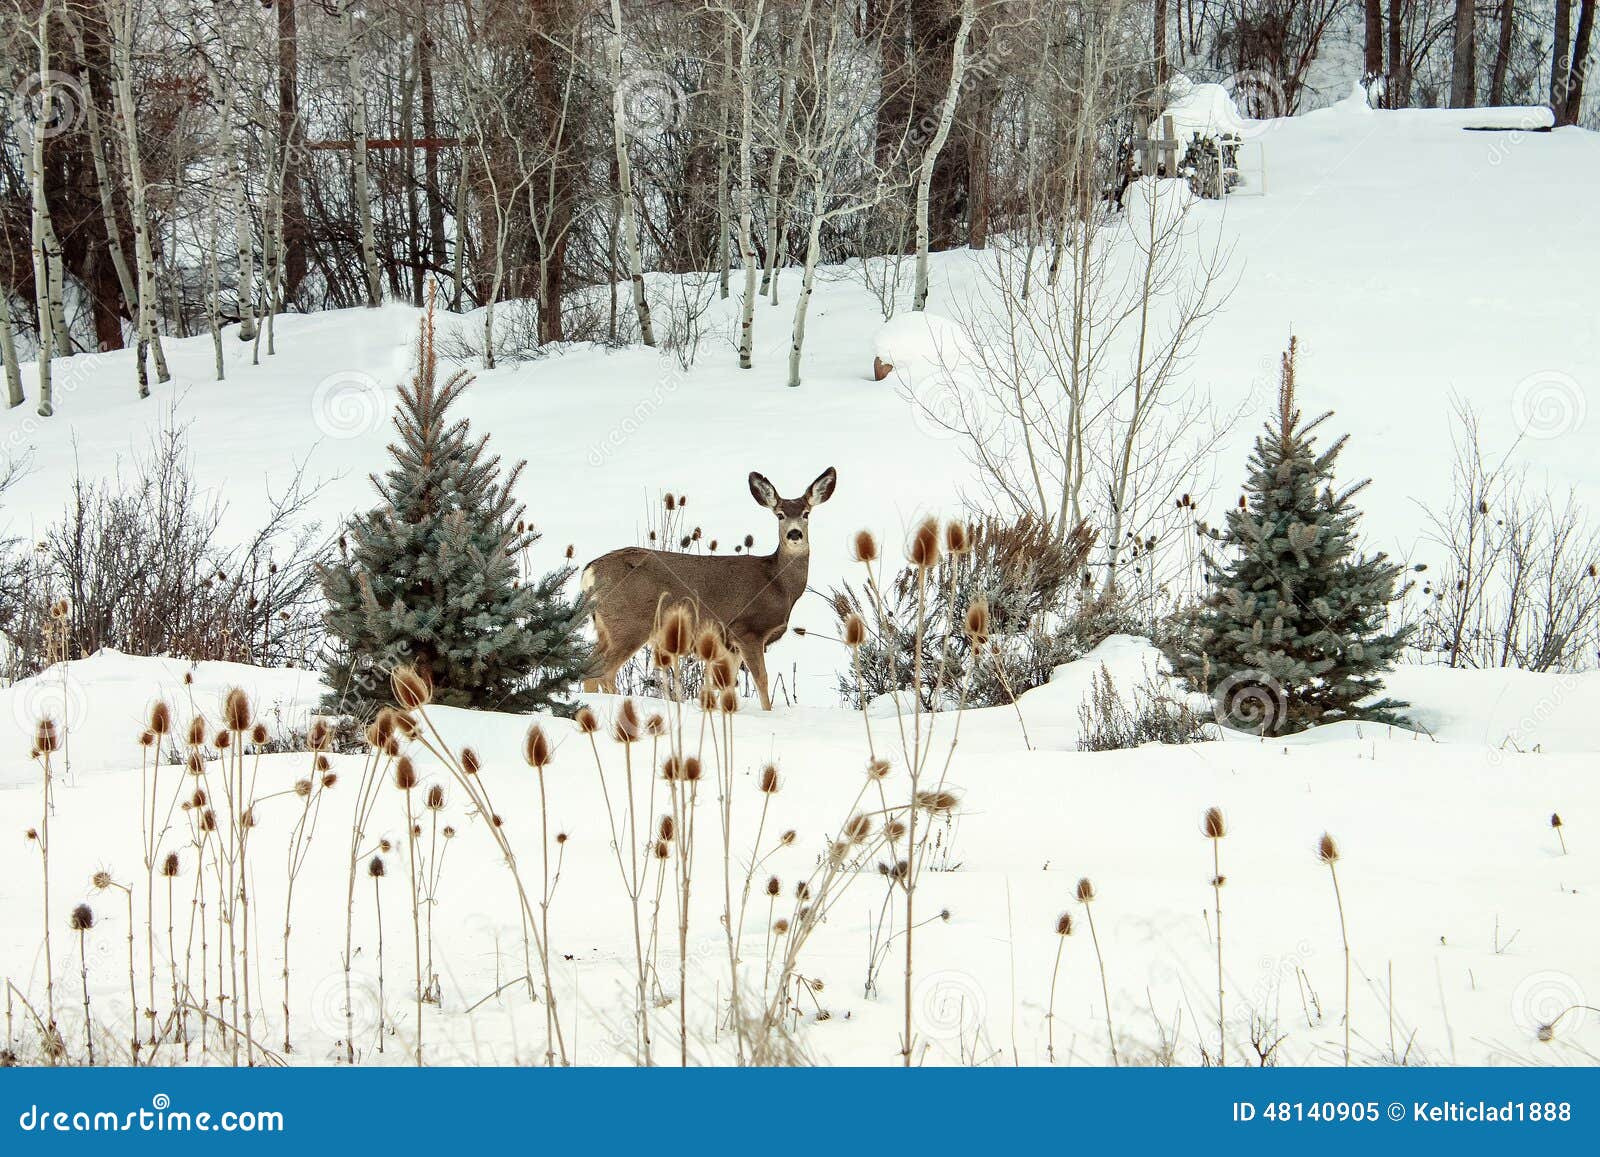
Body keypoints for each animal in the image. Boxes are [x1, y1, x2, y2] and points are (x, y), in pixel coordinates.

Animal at [580, 467, 837, 710]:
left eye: (806, 514)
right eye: (780, 515)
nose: (795, 533)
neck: (779, 584)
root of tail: (590, 571)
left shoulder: (728, 643)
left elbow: (725, 683)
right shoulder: (747, 629)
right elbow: (761, 680)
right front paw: (767, 713)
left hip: (606, 627)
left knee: (589, 669)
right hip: (629, 624)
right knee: (602, 672)